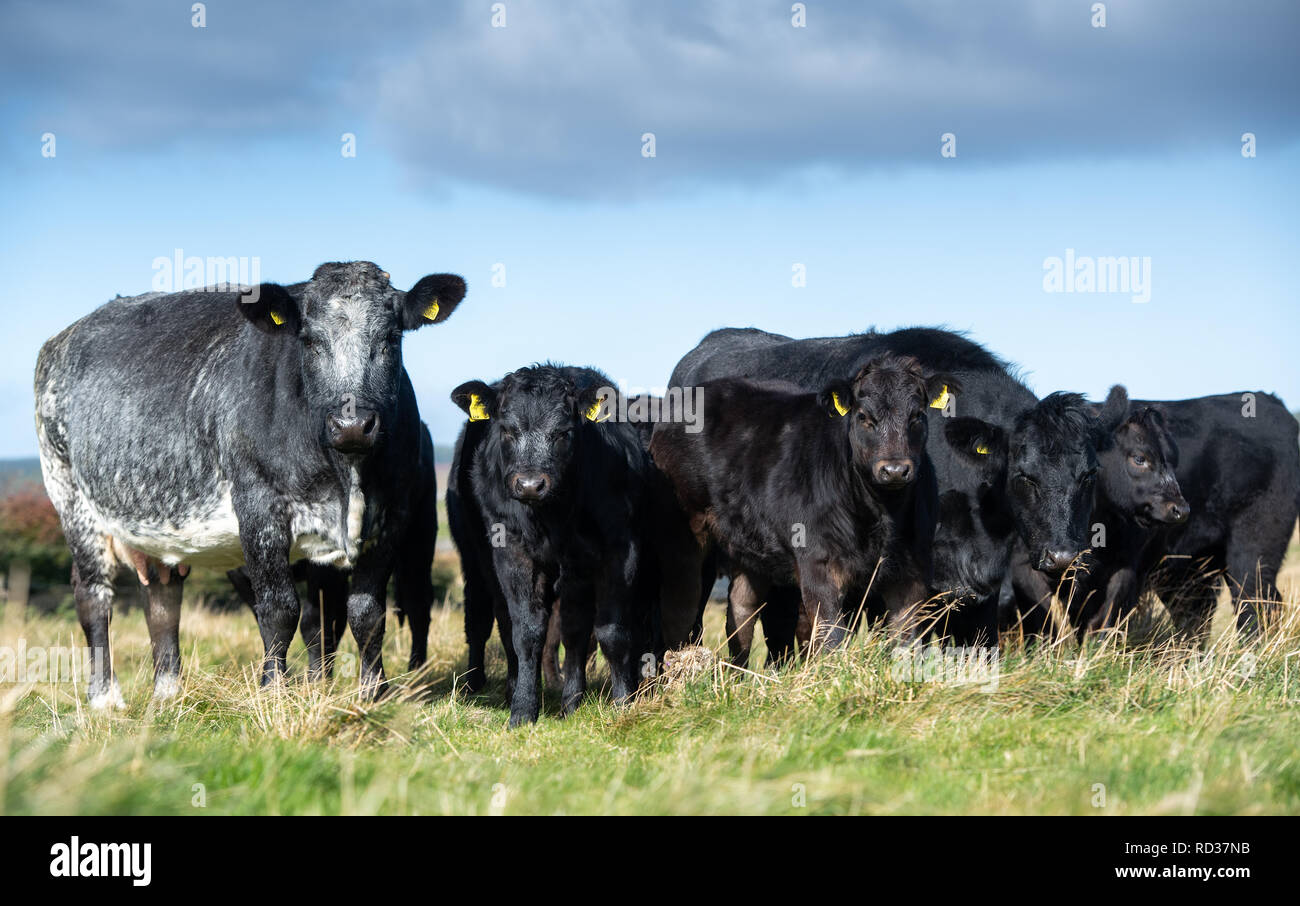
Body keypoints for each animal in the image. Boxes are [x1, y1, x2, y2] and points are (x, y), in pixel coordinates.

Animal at [226, 421, 441, 677]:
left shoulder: (324, 563)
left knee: (418, 602)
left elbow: (315, 621)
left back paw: (417, 671)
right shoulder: (243, 570)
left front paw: (316, 679)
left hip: (420, 533)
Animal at [449, 365, 691, 726]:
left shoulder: (620, 550)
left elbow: (610, 632)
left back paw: (571, 702)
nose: (530, 485)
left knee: (576, 630)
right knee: (488, 619)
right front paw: (522, 711)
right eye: (506, 429)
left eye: (563, 432)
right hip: (475, 559)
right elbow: (526, 632)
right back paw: (487, 686)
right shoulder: (512, 551)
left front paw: (623, 703)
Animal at [650, 355, 954, 666]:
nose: (894, 470)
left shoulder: (913, 572)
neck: (880, 514)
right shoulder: (819, 564)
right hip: (682, 535)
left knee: (742, 610)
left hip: (750, 544)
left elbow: (907, 642)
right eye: (863, 417)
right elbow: (831, 637)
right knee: (681, 604)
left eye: (917, 415)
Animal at [1000, 387, 1190, 638]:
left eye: (1174, 459)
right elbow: (1044, 621)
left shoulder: (1124, 572)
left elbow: (1101, 623)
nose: (1180, 508)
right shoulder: (1024, 570)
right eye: (1139, 458)